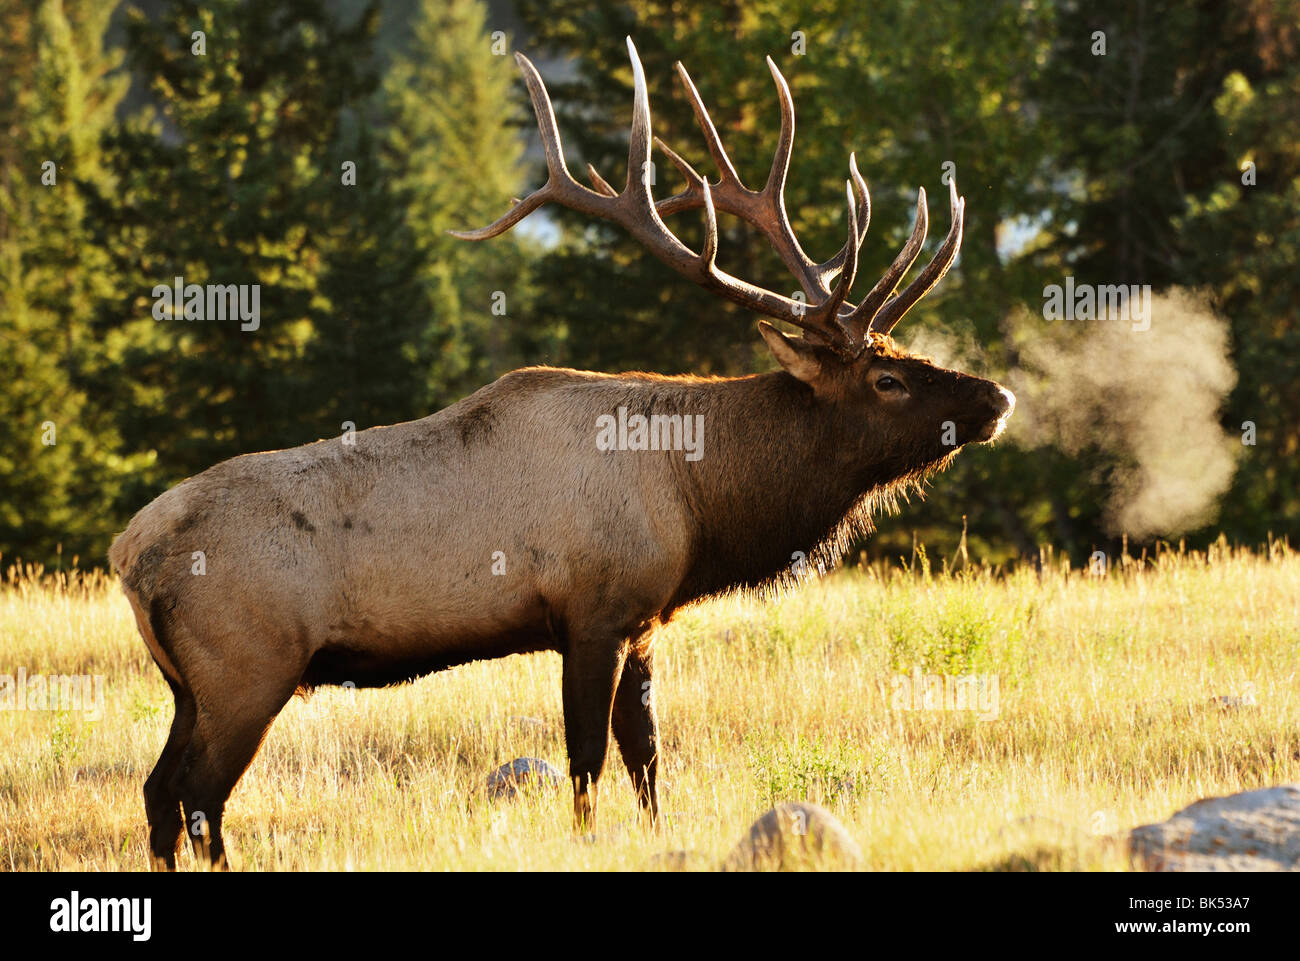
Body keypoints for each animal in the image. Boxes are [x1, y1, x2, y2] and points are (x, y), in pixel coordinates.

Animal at [109, 38, 1014, 870]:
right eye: (888, 378)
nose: (997, 398)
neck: (697, 497)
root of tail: (127, 552)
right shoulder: (592, 609)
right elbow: (586, 759)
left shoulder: (644, 621)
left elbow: (648, 757)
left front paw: (655, 833)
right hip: (247, 667)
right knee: (200, 795)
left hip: (187, 685)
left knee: (159, 790)